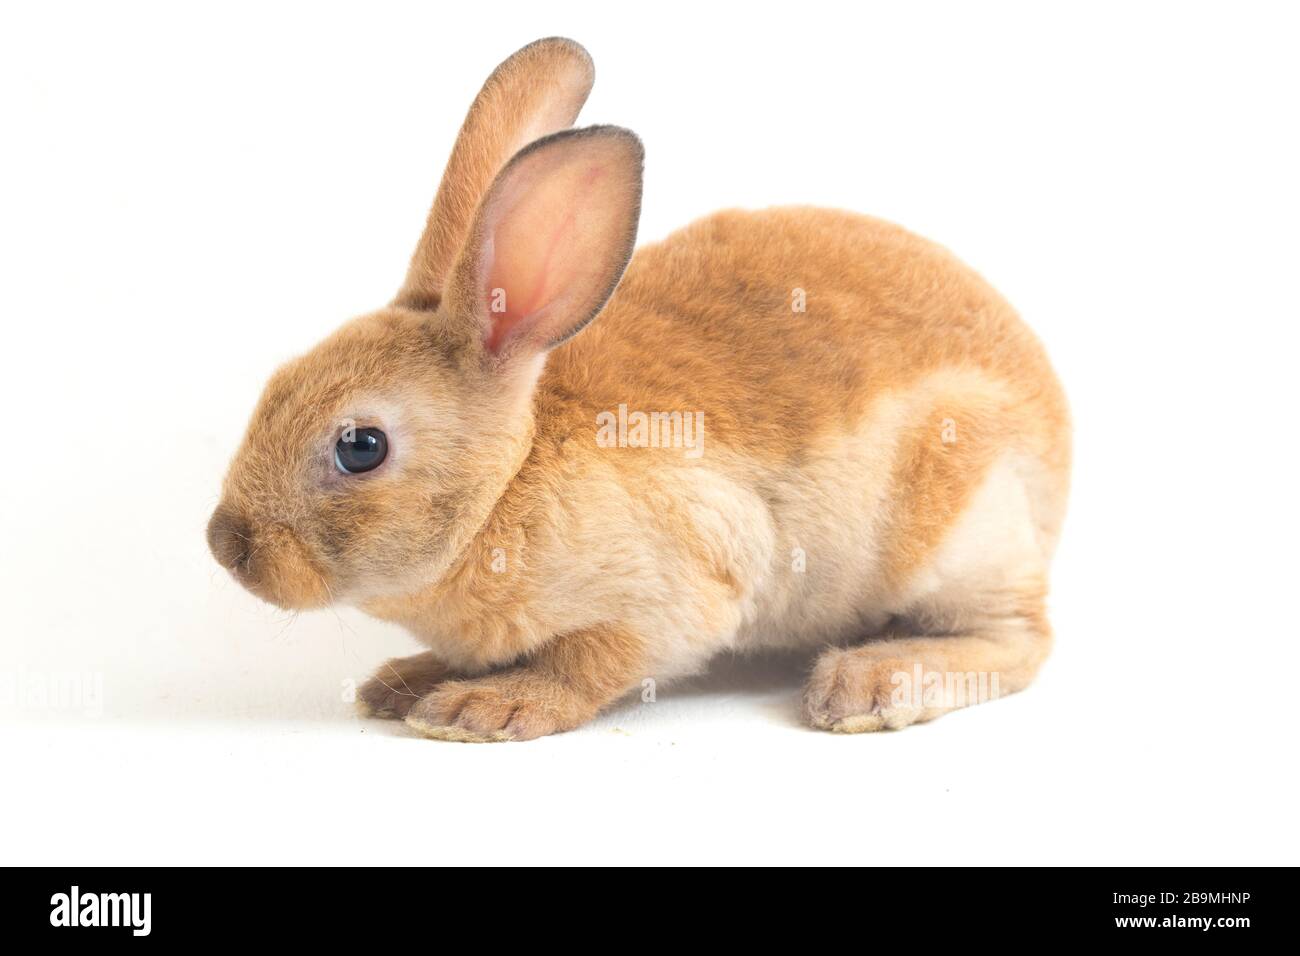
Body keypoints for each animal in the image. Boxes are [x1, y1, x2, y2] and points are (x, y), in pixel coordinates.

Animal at [207, 37, 1071, 742]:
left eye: (361, 447)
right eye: (277, 383)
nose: (226, 545)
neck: (504, 485)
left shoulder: (680, 588)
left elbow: (592, 664)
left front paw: (486, 708)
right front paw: (403, 684)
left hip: (962, 518)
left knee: (1019, 641)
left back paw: (869, 683)